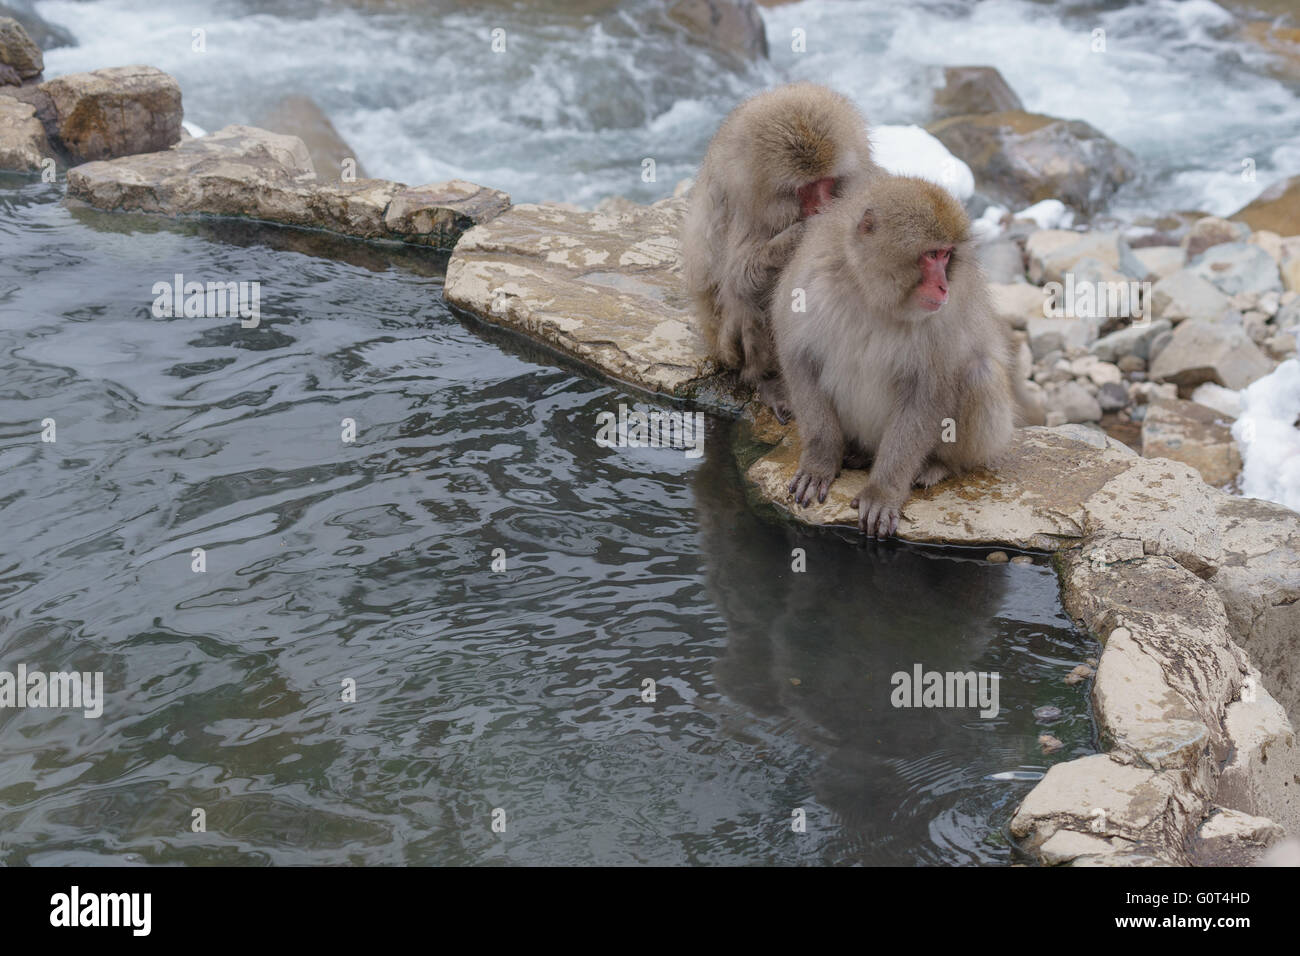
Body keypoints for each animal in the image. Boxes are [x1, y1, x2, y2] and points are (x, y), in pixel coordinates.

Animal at [681, 83, 879, 422]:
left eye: (827, 182)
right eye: (806, 189)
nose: (822, 206)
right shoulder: (742, 203)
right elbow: (738, 279)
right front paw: (802, 232)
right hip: (725, 347)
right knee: (747, 304)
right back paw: (769, 380)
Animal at [771, 174, 1019, 538]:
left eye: (947, 256)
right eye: (932, 254)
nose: (944, 287)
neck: (871, 294)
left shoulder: (943, 319)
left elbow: (928, 393)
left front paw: (883, 492)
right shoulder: (808, 283)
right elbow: (800, 358)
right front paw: (820, 459)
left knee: (980, 372)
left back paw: (939, 464)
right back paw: (858, 454)